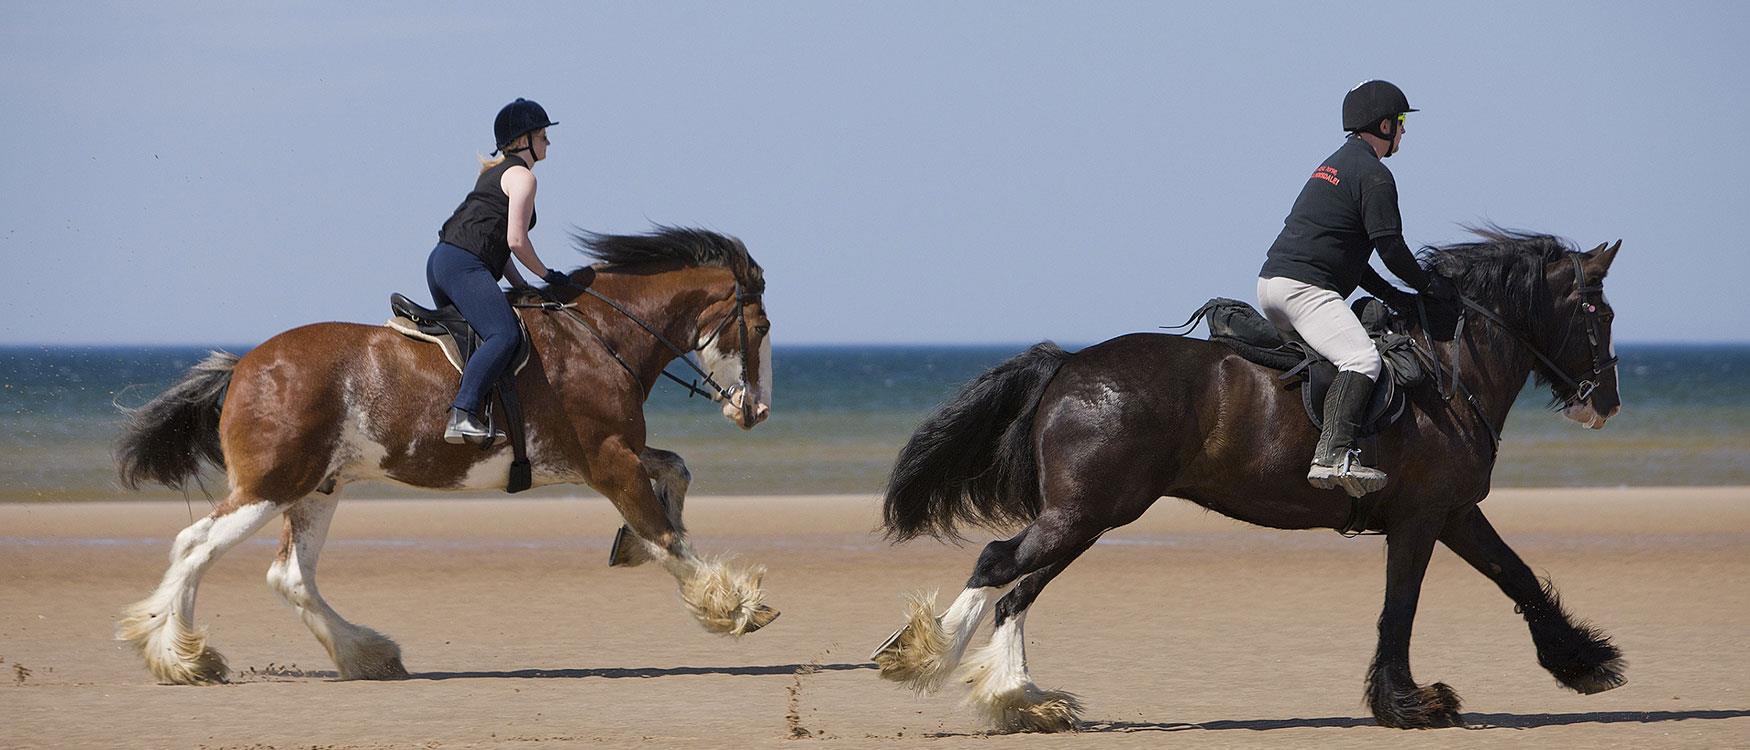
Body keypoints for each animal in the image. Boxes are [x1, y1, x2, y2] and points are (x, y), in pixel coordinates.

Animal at [115, 226, 777, 685]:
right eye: (764, 327)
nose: (758, 411)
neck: (600, 336)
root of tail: (243, 366)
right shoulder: (609, 459)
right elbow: (668, 538)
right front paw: (732, 605)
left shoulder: (618, 452)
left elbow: (676, 476)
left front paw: (634, 547)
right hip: (272, 484)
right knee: (196, 545)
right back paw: (180, 657)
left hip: (319, 487)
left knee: (290, 574)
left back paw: (367, 655)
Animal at [870, 230, 1626, 731]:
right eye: (1603, 313)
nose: (1607, 403)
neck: (1448, 368)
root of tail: (1069, 364)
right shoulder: (1420, 518)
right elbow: (1401, 609)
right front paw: (1410, 703)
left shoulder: (1454, 512)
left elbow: (1516, 576)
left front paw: (1585, 663)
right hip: (1085, 513)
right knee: (1001, 566)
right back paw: (944, 664)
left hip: (1090, 517)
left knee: (1016, 589)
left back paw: (1009, 693)